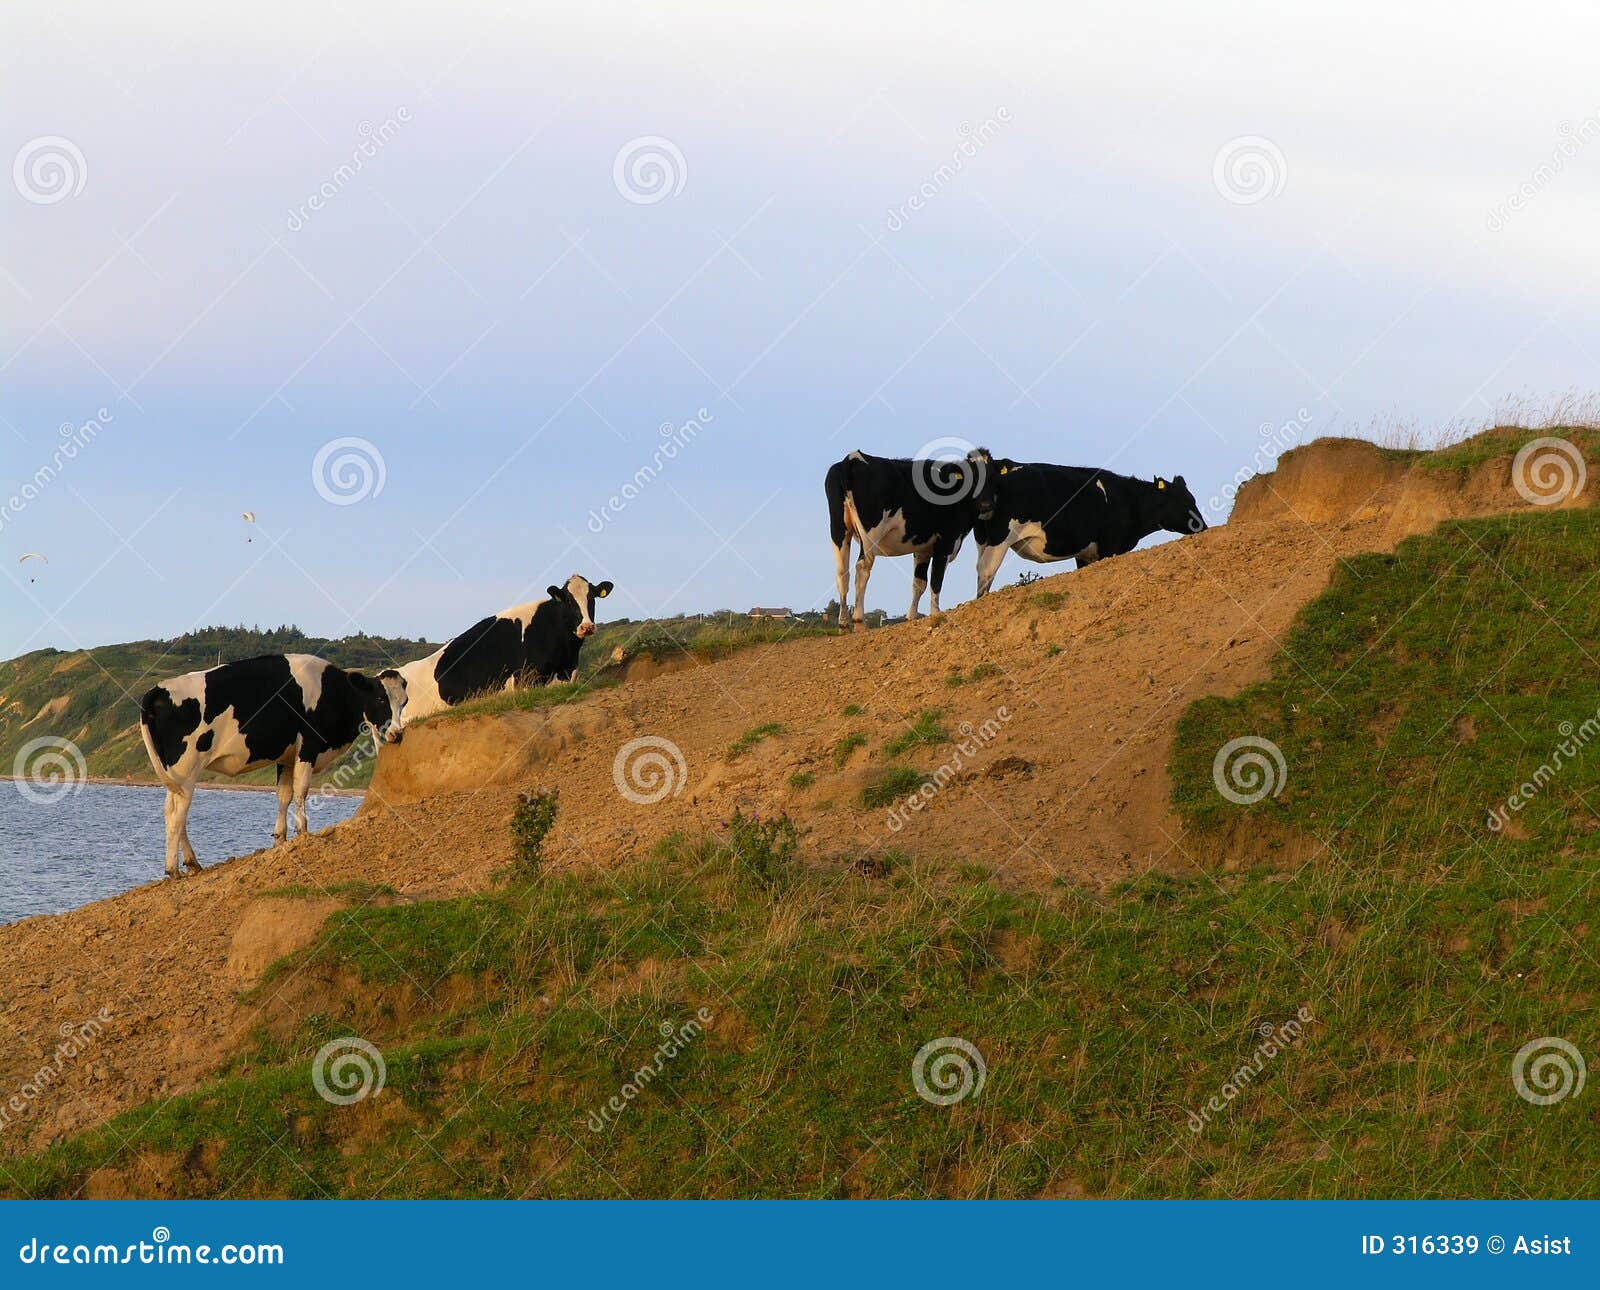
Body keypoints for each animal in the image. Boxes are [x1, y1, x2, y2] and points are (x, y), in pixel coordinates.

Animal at [138, 654, 406, 879]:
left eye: (403, 702)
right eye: (381, 698)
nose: (397, 734)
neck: (332, 692)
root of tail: (159, 689)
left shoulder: (286, 757)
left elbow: (283, 796)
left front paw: (280, 838)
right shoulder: (308, 748)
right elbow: (301, 791)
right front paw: (303, 833)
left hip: (177, 776)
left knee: (172, 810)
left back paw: (192, 863)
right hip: (186, 768)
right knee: (177, 814)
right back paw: (174, 869)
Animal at [825, 448, 991, 629]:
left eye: (992, 476)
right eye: (972, 478)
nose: (985, 504)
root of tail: (853, 458)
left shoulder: (923, 549)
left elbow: (919, 583)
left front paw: (911, 617)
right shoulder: (946, 542)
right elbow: (936, 579)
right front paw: (936, 613)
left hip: (839, 529)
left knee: (842, 572)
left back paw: (843, 622)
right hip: (870, 534)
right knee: (862, 568)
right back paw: (858, 618)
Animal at [971, 461, 1207, 596]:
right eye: (1185, 501)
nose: (1203, 527)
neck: (1129, 498)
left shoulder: (1085, 553)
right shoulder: (1109, 546)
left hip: (982, 539)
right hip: (999, 539)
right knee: (986, 572)